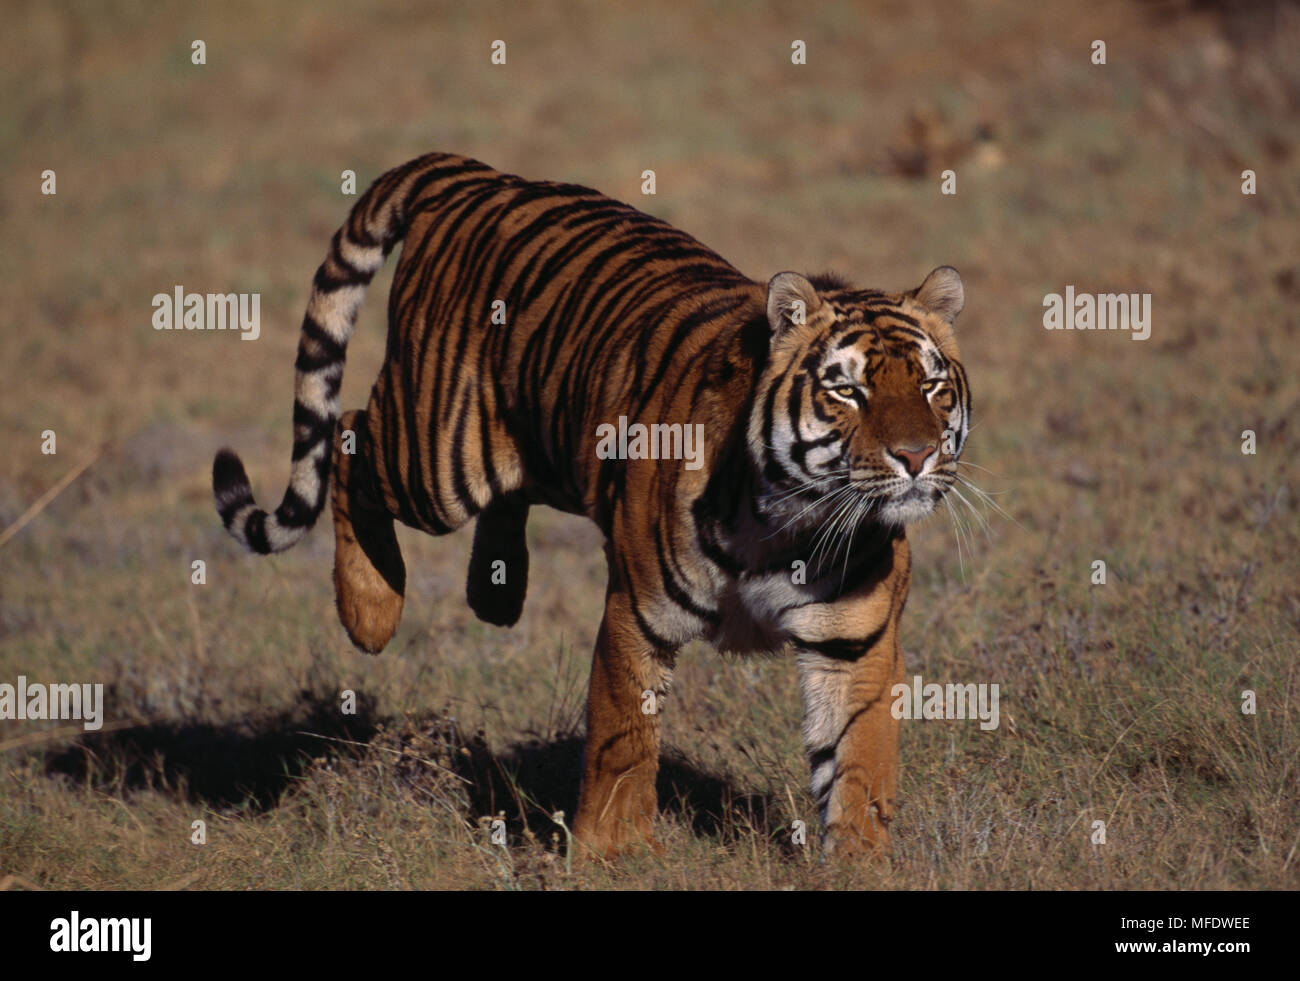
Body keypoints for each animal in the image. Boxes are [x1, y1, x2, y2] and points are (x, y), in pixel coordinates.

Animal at [212, 151, 970, 860]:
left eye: (932, 385)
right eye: (848, 391)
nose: (915, 456)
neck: (793, 519)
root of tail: (477, 173)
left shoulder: (855, 638)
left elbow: (860, 759)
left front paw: (860, 862)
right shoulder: (640, 612)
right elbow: (622, 736)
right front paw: (614, 852)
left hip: (535, 446)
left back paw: (497, 592)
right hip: (435, 462)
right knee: (348, 436)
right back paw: (369, 612)